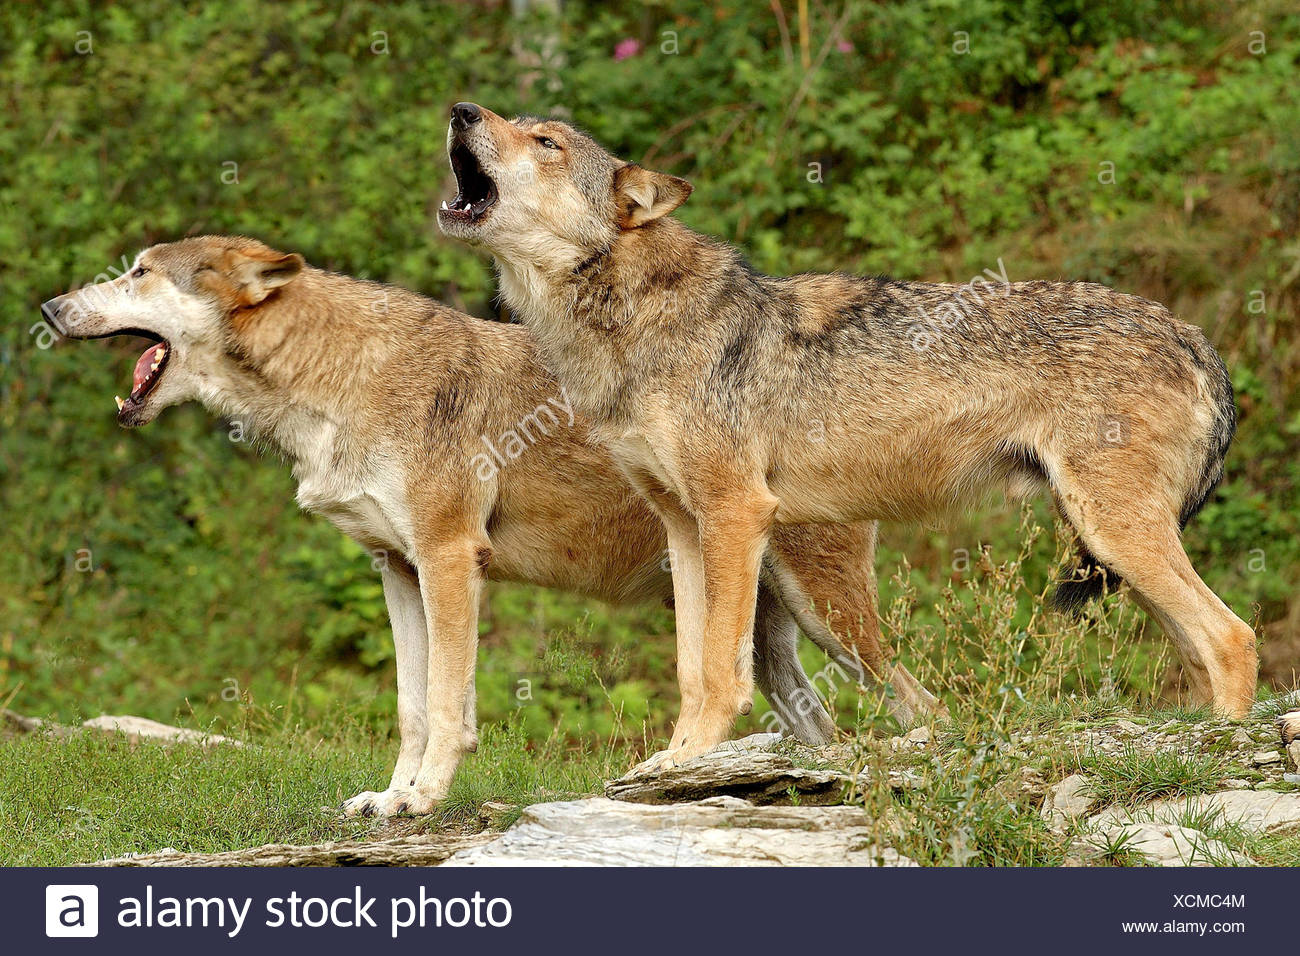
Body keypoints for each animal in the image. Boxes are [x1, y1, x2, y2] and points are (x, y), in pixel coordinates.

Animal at [40, 235, 938, 814]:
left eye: (138, 272)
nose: (47, 307)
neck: (339, 384)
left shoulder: (448, 560)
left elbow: (446, 706)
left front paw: (425, 801)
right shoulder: (396, 570)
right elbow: (409, 705)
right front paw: (391, 797)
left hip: (835, 624)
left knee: (920, 704)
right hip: (778, 644)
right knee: (815, 728)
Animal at [437, 102, 1257, 772]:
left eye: (546, 141)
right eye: (514, 122)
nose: (461, 110)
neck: (622, 326)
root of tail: (1192, 335)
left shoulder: (735, 513)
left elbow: (722, 672)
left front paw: (690, 762)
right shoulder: (685, 525)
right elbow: (691, 668)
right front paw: (670, 761)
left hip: (1108, 535)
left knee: (1234, 637)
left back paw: (1221, 753)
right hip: (1107, 549)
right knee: (1200, 651)